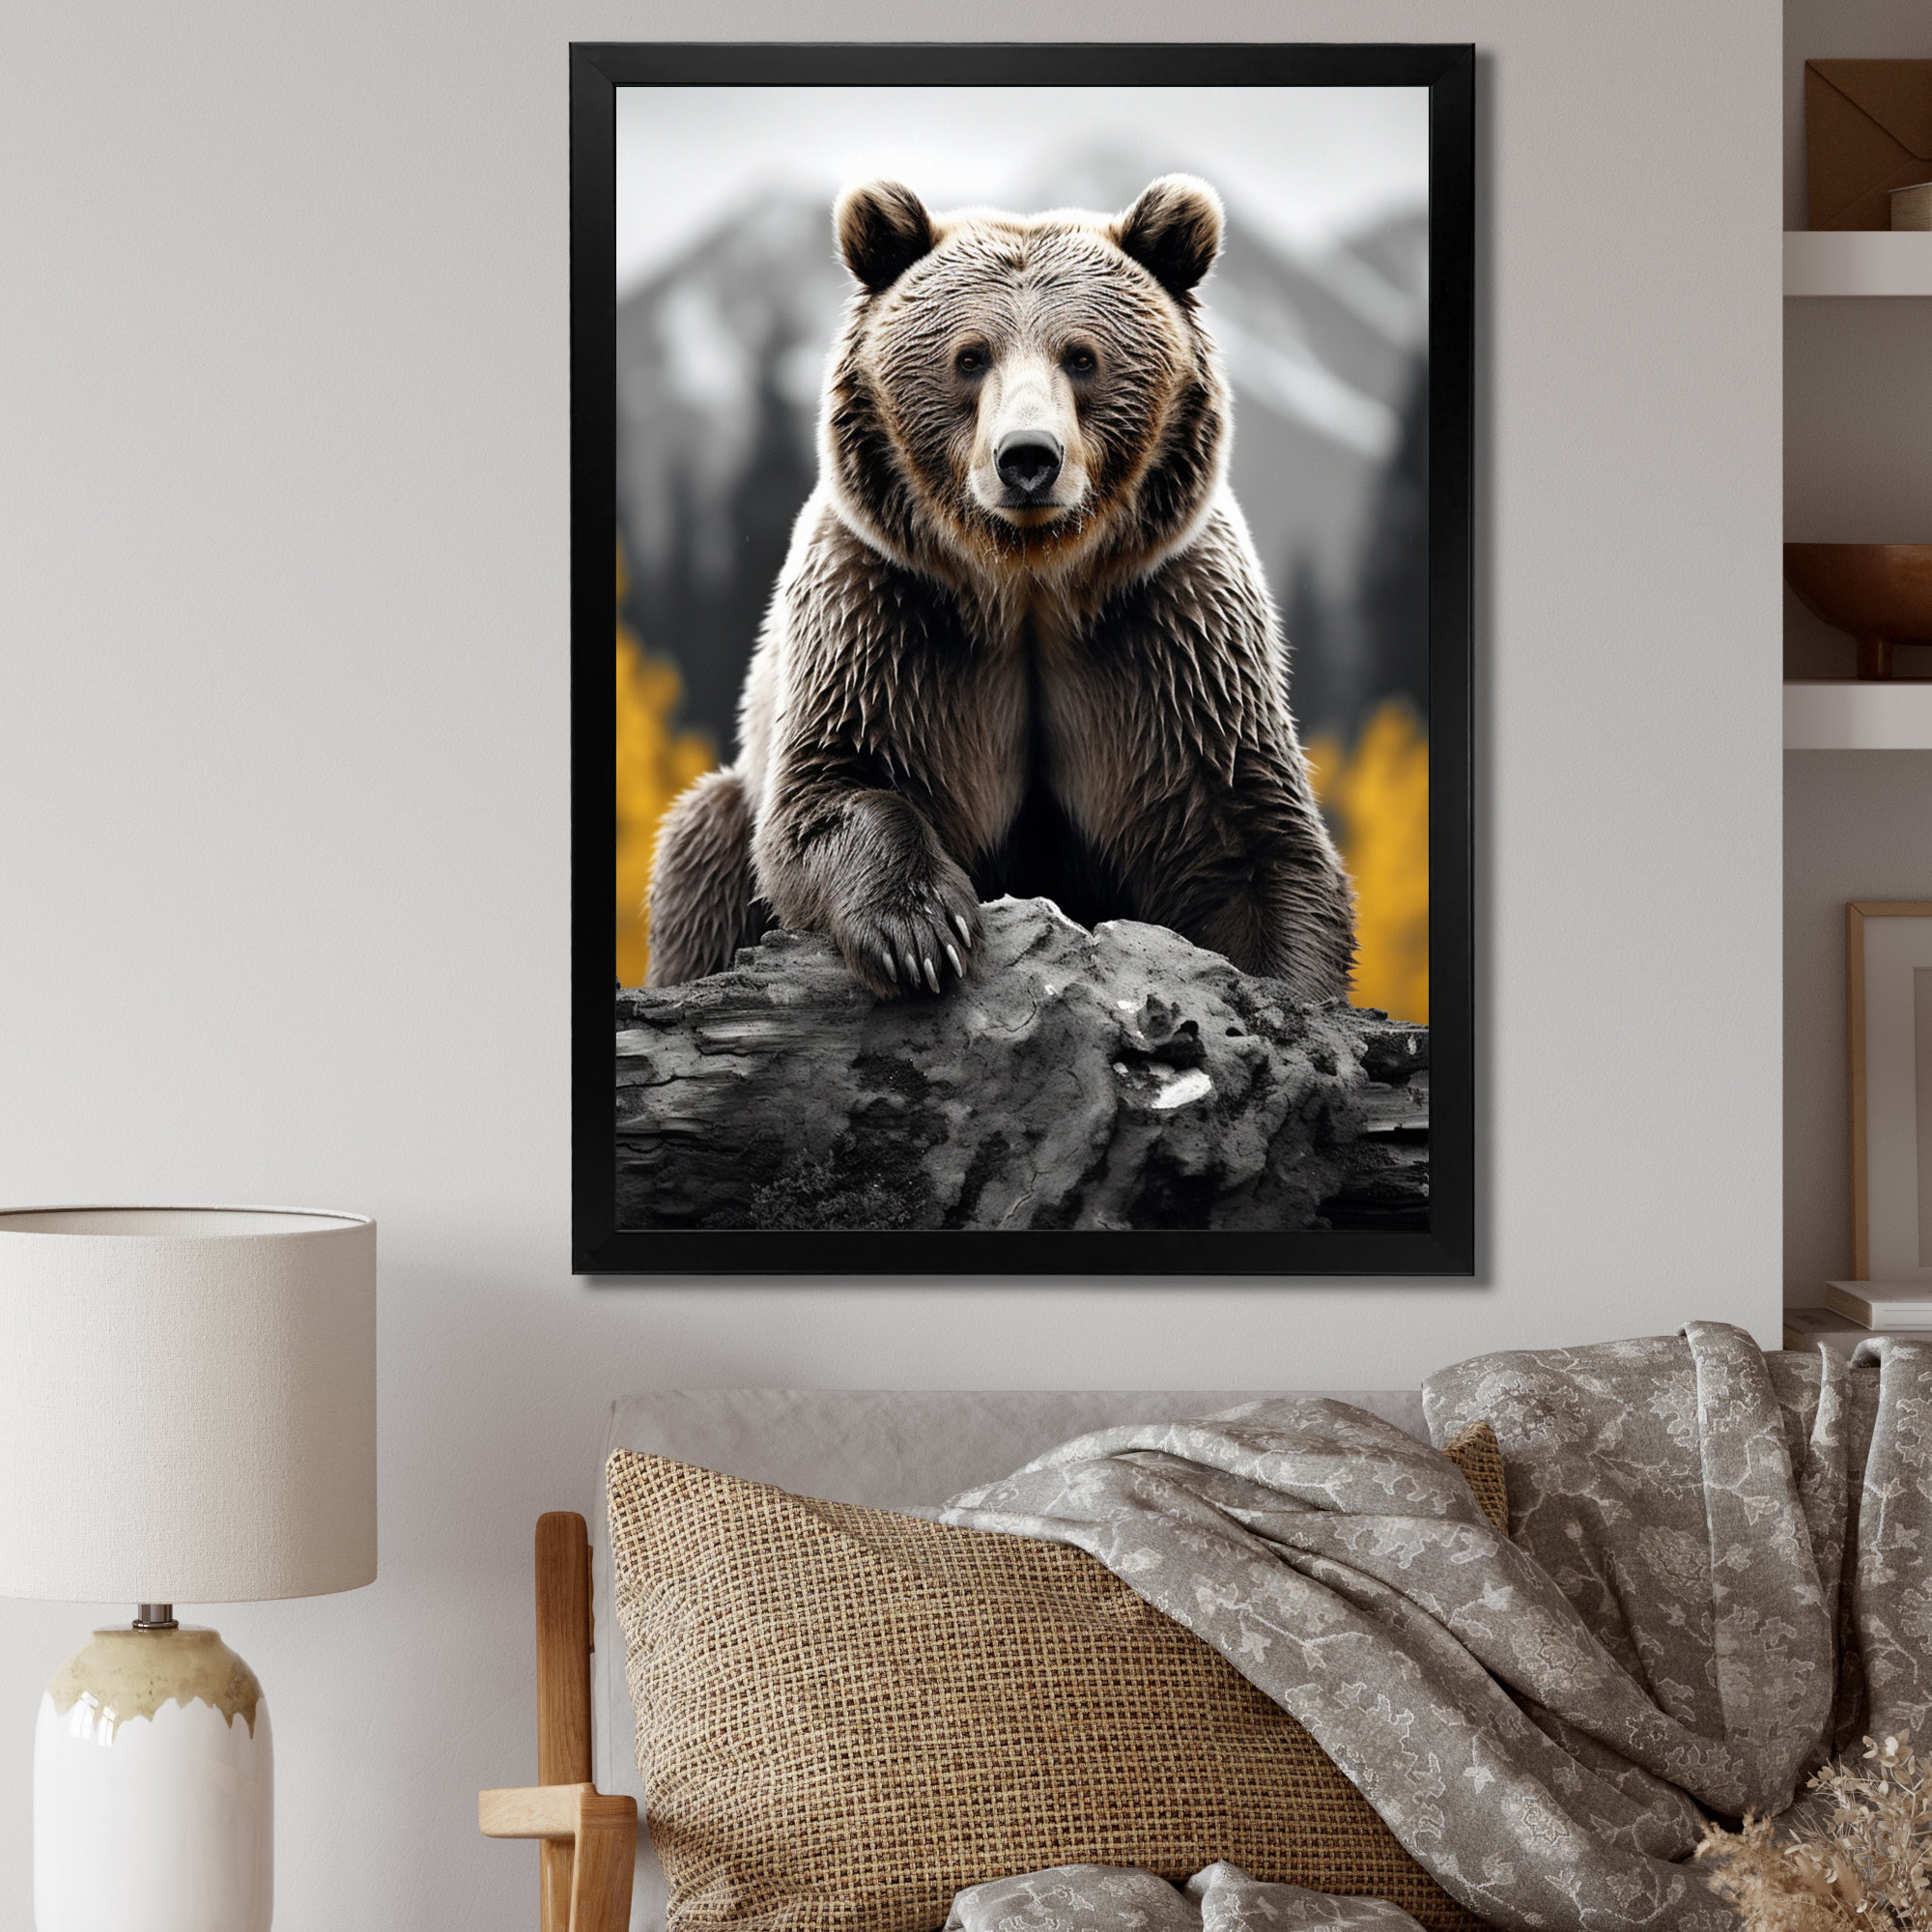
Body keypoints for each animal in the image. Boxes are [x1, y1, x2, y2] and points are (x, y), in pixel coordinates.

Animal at [646, 173, 1356, 1004]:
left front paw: (1283, 985)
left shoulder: (1169, 634)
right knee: (705, 848)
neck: (1028, 583)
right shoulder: (885, 611)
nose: (1027, 457)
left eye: (1081, 356)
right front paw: (919, 931)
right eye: (970, 356)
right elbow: (831, 785)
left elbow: (1250, 835)